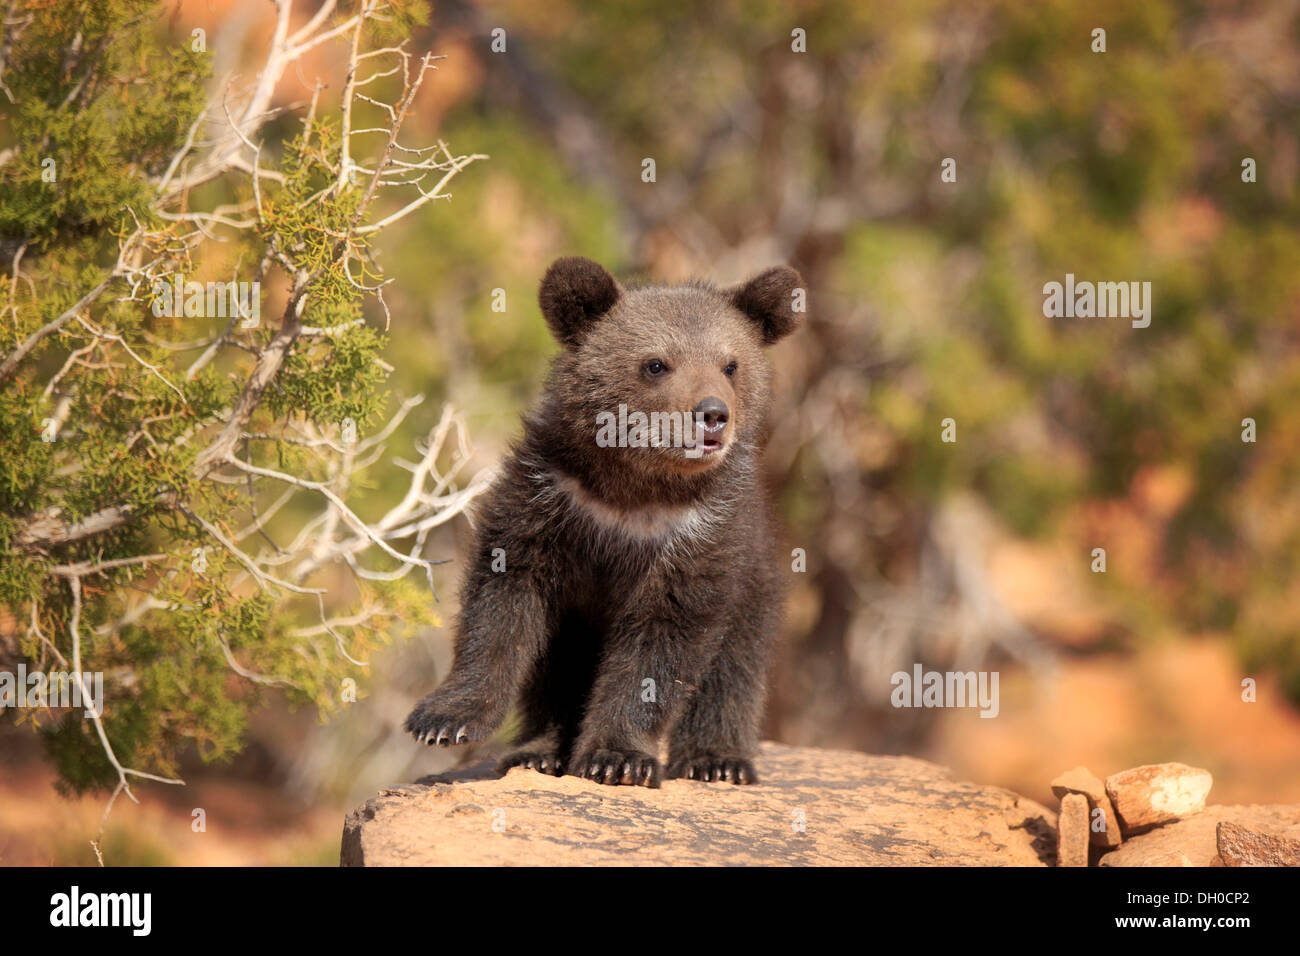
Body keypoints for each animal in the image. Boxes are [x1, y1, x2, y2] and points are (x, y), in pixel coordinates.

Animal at [404, 255, 803, 787]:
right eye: (656, 363)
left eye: (731, 365)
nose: (712, 414)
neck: (633, 492)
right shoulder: (549, 500)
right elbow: (502, 605)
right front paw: (444, 719)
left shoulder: (700, 536)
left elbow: (662, 643)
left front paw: (618, 757)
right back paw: (537, 751)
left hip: (755, 578)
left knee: (735, 663)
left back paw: (718, 760)